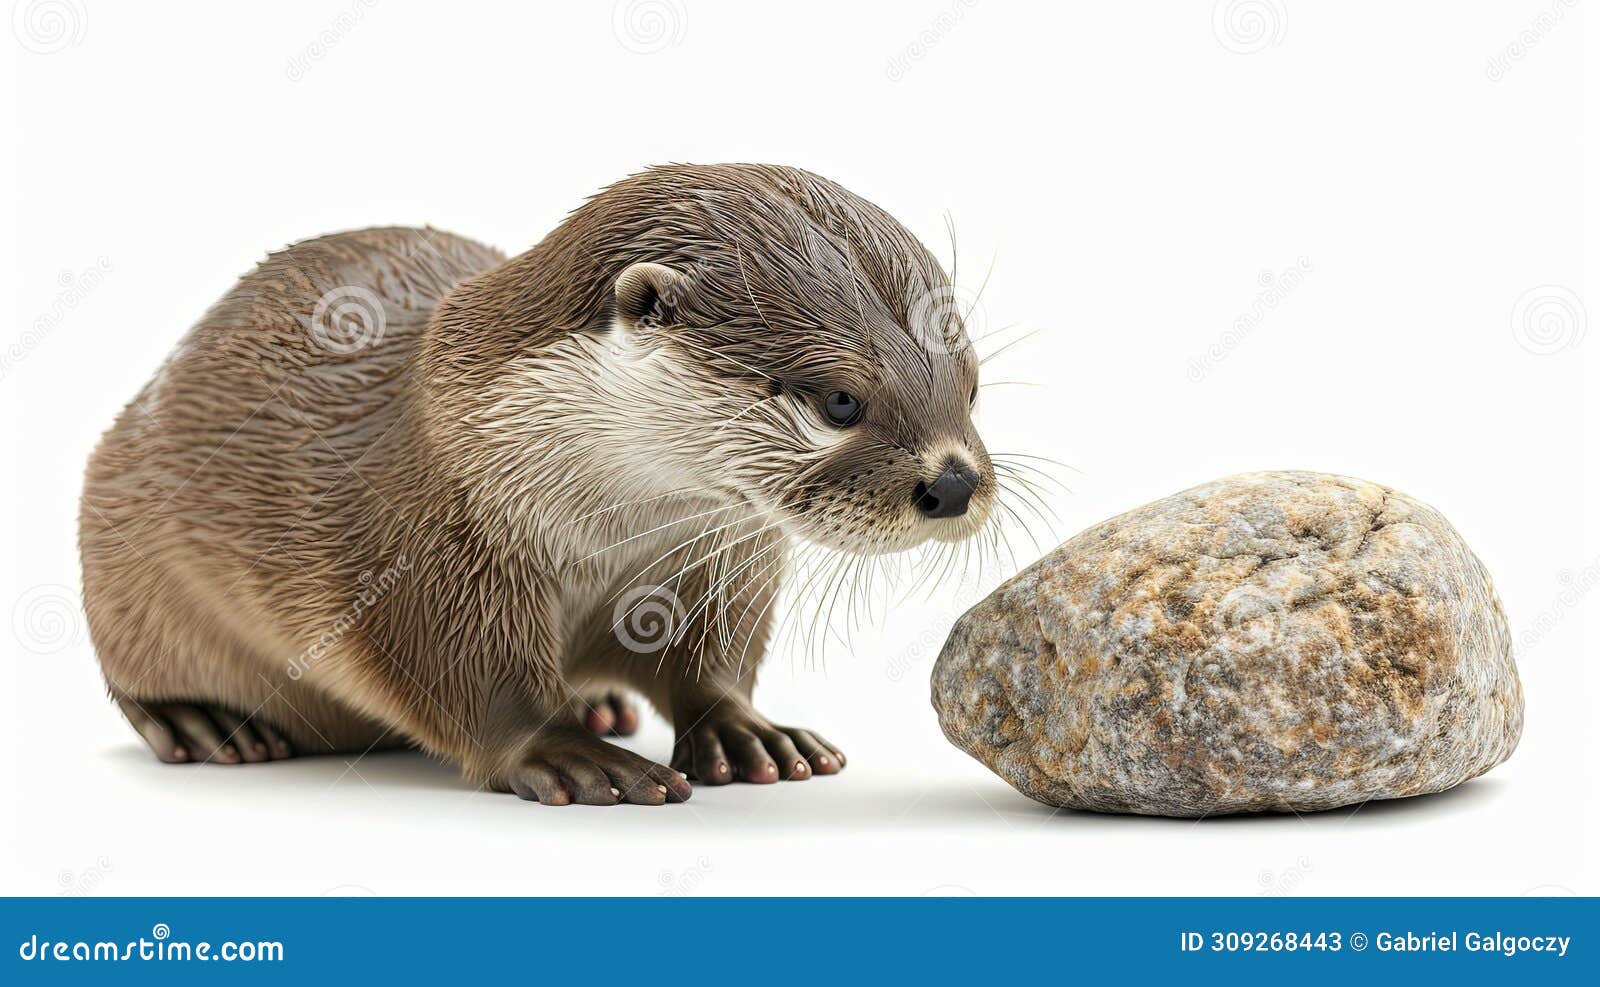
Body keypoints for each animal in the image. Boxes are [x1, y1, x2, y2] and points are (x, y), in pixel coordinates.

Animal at [78, 163, 995, 804]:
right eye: (840, 400)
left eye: (971, 385)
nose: (953, 484)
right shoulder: (430, 547)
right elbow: (466, 674)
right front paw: (568, 753)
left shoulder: (723, 557)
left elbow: (714, 658)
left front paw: (747, 733)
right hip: (120, 539)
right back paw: (203, 720)